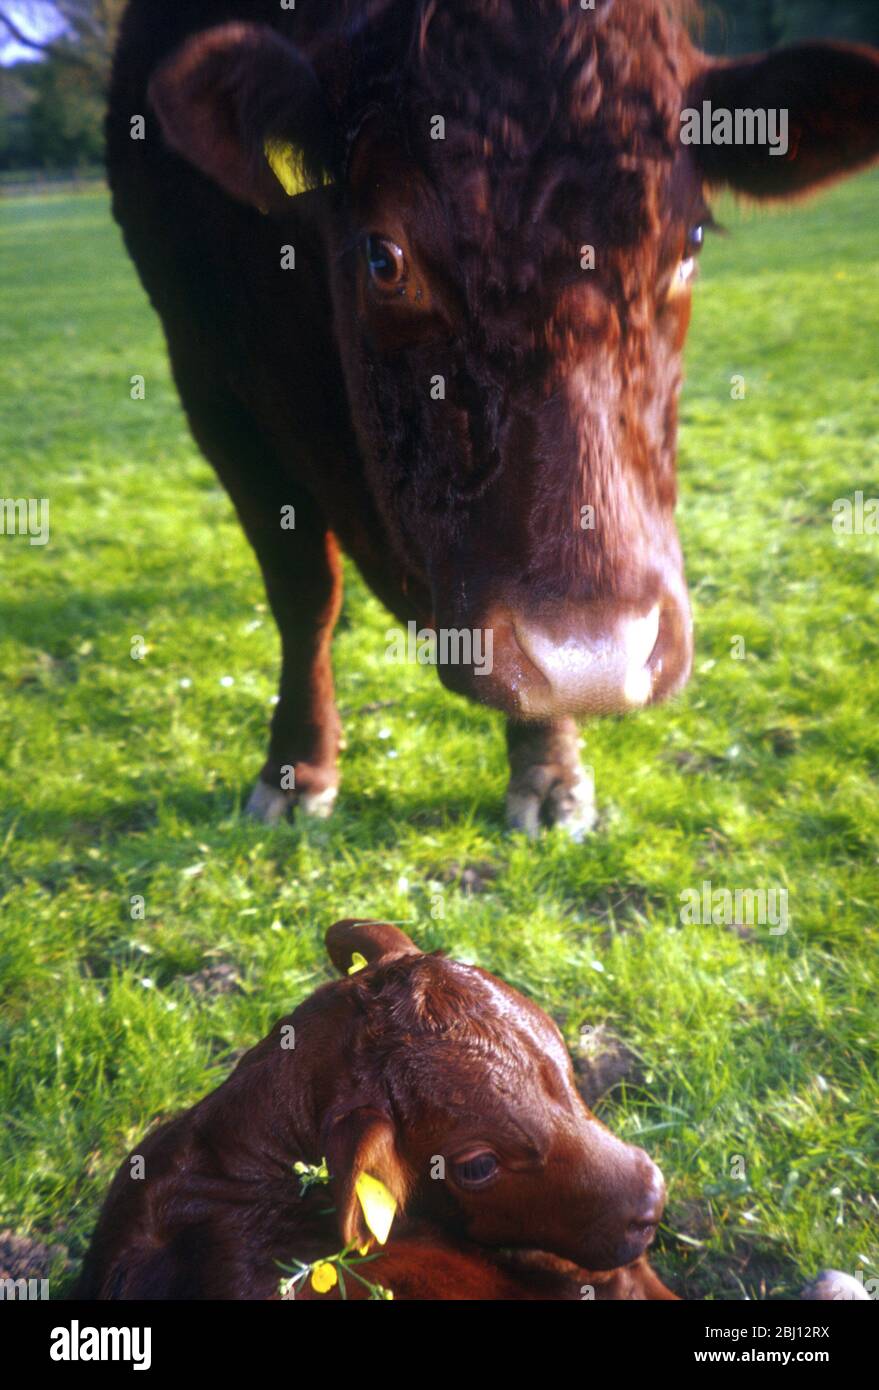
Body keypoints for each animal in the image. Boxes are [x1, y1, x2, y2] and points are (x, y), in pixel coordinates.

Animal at [106, 1, 879, 835]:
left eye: (690, 241)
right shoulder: (210, 384)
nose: (593, 658)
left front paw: (550, 770)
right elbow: (303, 589)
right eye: (384, 258)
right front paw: (295, 767)